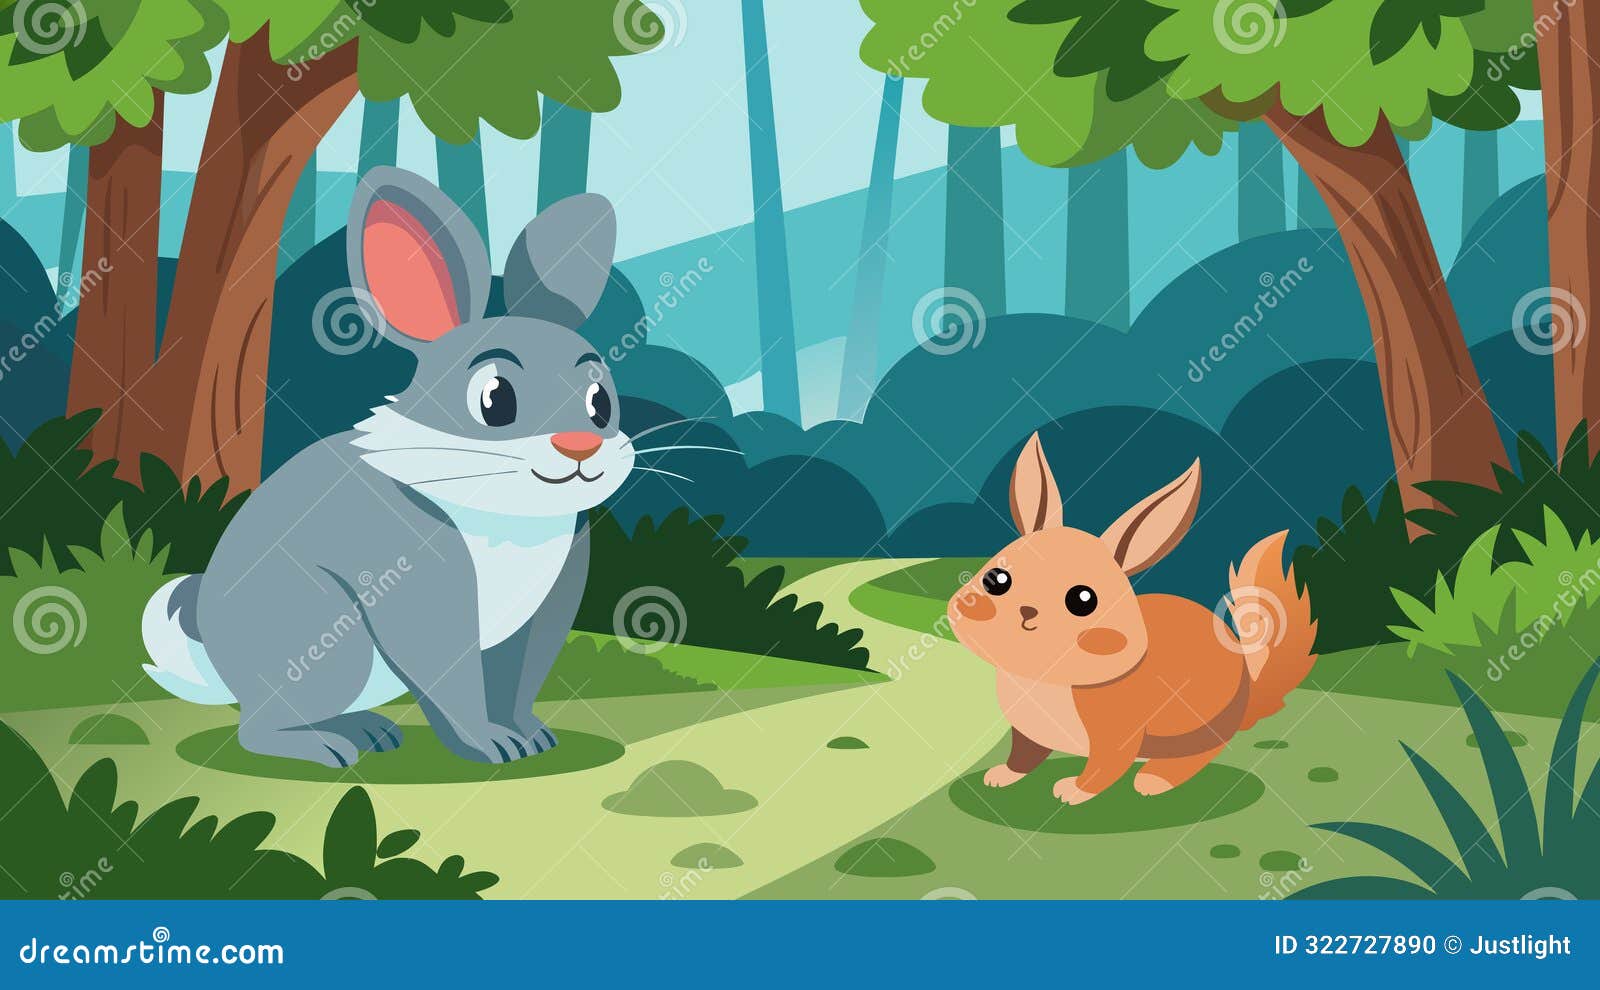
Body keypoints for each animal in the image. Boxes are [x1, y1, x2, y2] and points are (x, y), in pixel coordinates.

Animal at [139, 167, 635, 767]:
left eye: (599, 402)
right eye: (495, 398)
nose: (579, 447)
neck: (500, 507)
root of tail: (214, 649)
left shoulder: (541, 617)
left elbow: (516, 683)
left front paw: (531, 740)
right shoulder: (421, 588)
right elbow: (451, 679)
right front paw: (492, 747)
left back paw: (368, 732)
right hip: (328, 640)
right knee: (258, 730)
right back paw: (328, 747)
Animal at [946, 433, 1316, 805]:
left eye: (1083, 600)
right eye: (996, 579)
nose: (1027, 613)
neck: (1043, 680)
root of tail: (1249, 689)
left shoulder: (1117, 734)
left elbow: (1106, 766)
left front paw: (1072, 792)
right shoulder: (1027, 731)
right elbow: (1024, 755)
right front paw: (1001, 776)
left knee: (1200, 753)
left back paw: (1154, 780)